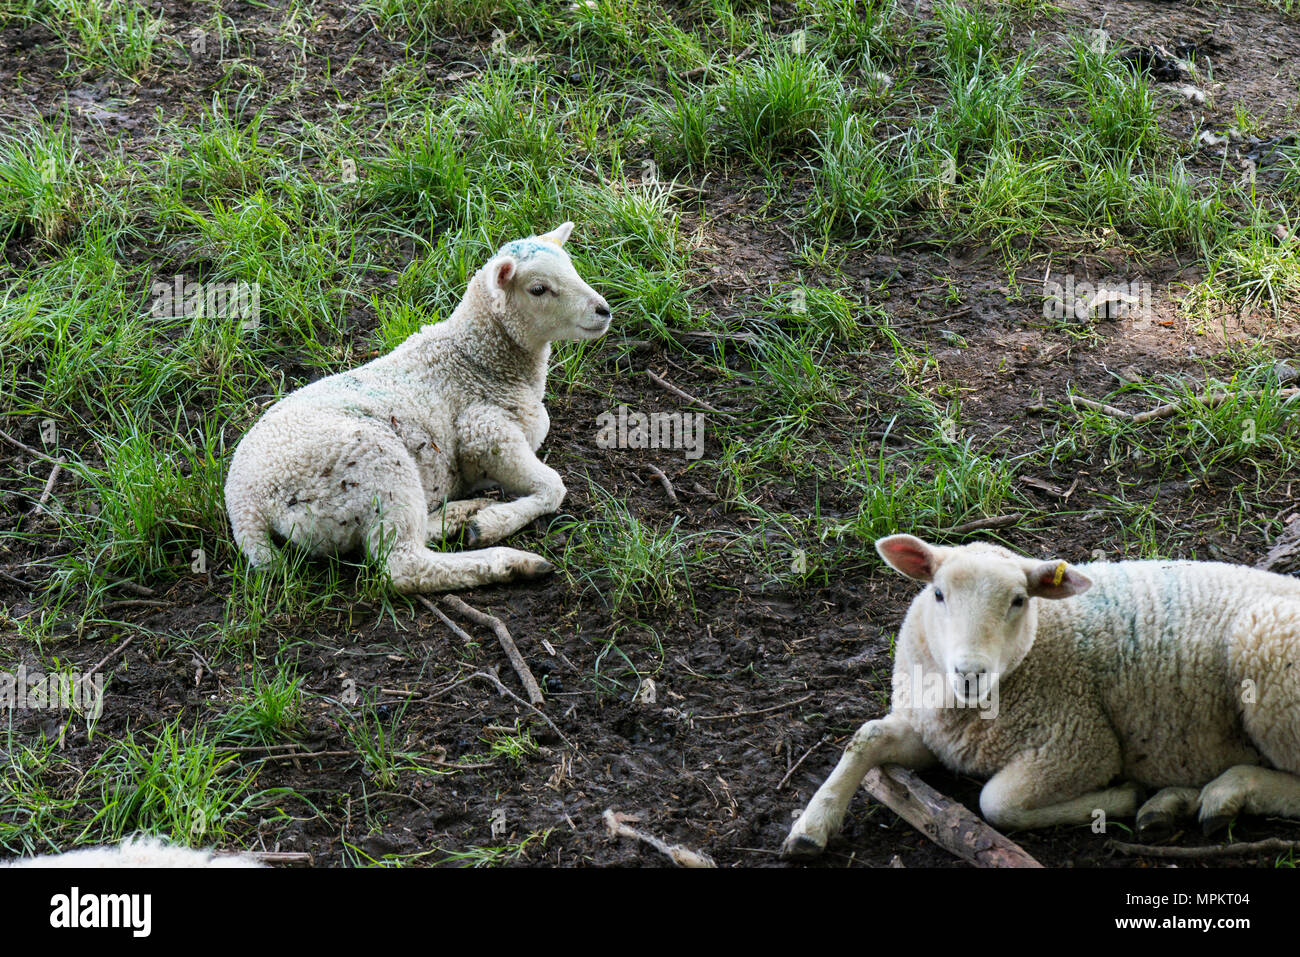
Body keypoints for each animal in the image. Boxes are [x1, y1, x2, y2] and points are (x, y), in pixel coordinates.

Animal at [225, 222, 611, 593]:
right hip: (375, 468)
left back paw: (460, 515)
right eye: (539, 289)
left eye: (572, 269)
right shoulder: (484, 431)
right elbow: (554, 487)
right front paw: (491, 525)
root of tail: (243, 503)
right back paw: (508, 559)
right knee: (402, 565)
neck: (475, 359)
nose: (604, 311)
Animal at [782, 534, 1300, 858]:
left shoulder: (1079, 744)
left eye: (1018, 600)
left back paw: (1229, 791)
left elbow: (995, 803)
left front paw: (1121, 795)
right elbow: (866, 737)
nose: (969, 673)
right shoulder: (936, 735)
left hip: (1270, 663)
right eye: (938, 594)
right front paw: (811, 826)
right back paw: (1171, 803)